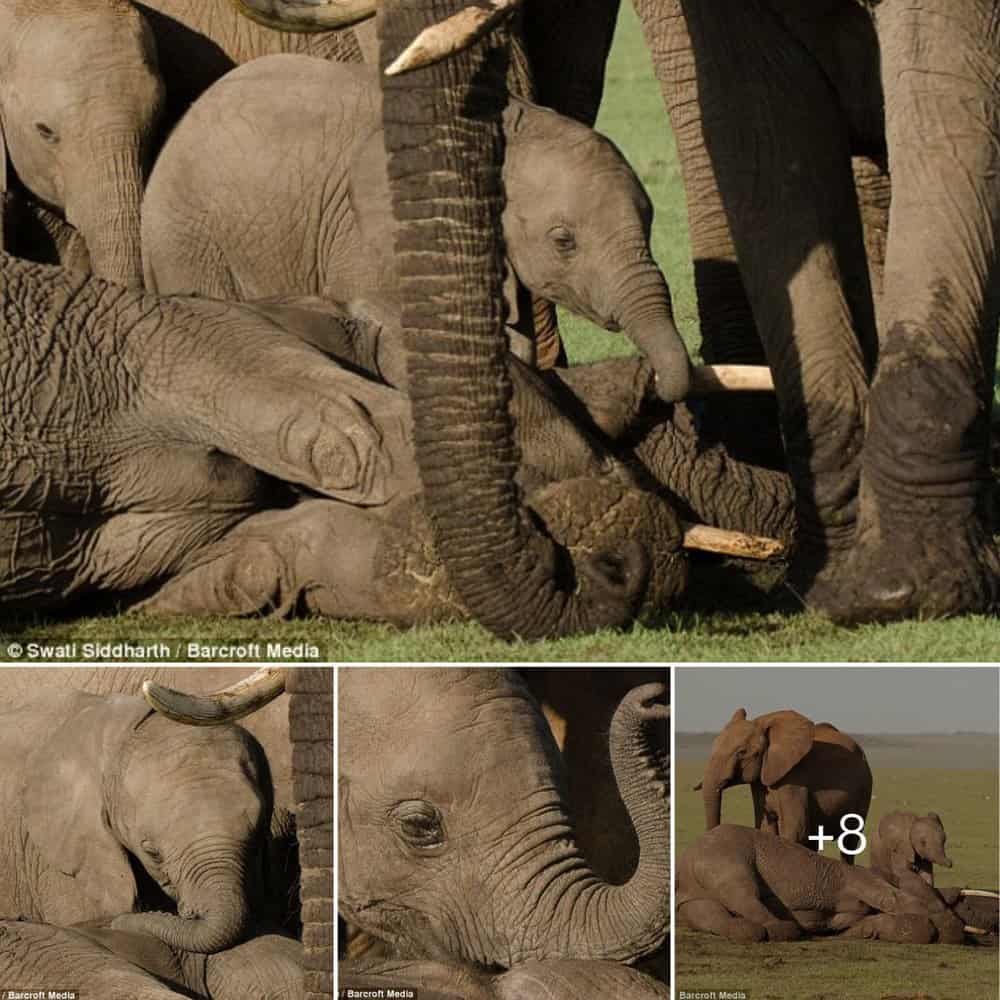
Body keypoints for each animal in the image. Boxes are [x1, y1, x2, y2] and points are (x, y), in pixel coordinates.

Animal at [677, 825, 967, 945]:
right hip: (724, 855)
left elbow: (863, 922)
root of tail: (687, 858)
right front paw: (949, 927)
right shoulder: (858, 879)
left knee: (709, 915)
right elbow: (893, 899)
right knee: (742, 891)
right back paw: (781, 930)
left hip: (696, 888)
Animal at [696, 708, 873, 863]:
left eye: (742, 752)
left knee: (849, 841)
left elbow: (796, 829)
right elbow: (766, 827)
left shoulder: (794, 778)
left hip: (864, 789)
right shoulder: (761, 779)